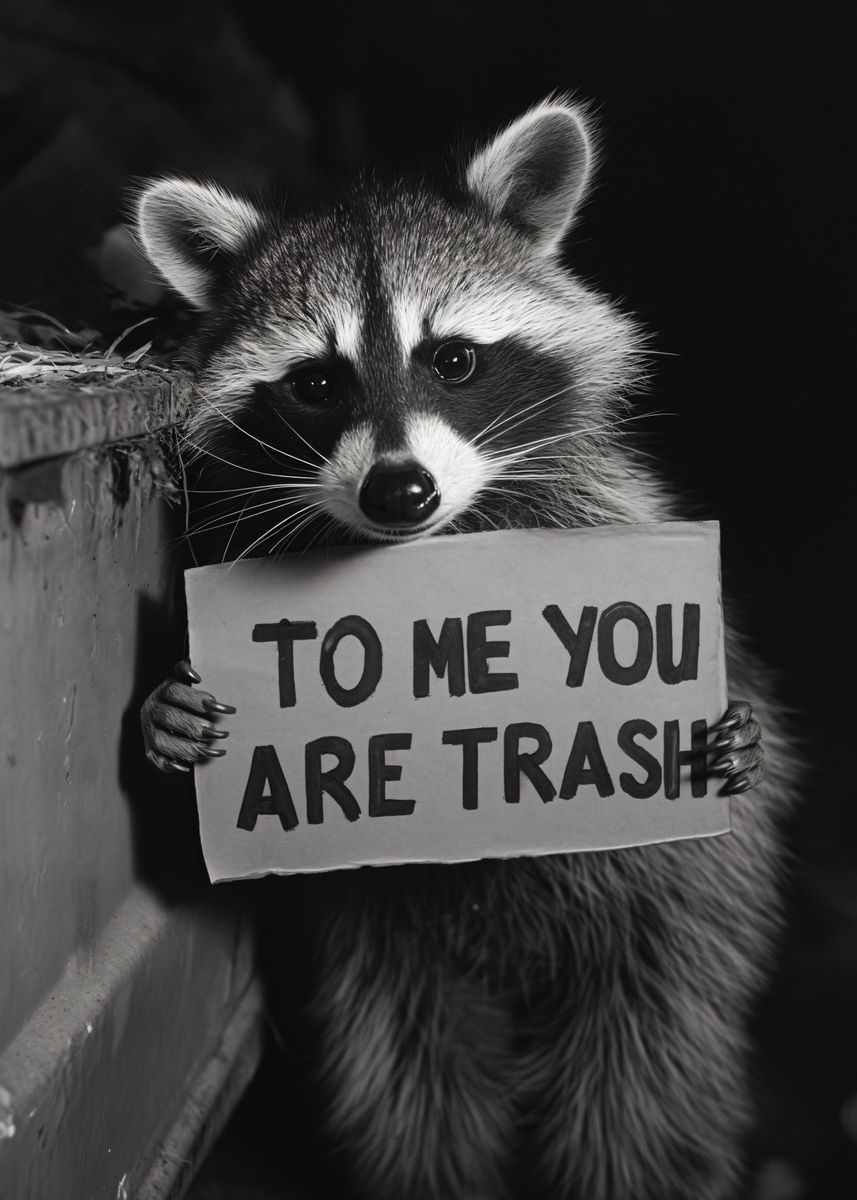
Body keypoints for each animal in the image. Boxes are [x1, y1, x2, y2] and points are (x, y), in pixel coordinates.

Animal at [137, 99, 789, 1200]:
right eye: (316, 383)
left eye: (451, 359)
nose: (398, 491)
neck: (430, 554)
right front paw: (166, 717)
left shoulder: (607, 515)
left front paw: (723, 728)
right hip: (392, 969)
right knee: (415, 1098)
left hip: (668, 937)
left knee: (643, 1100)